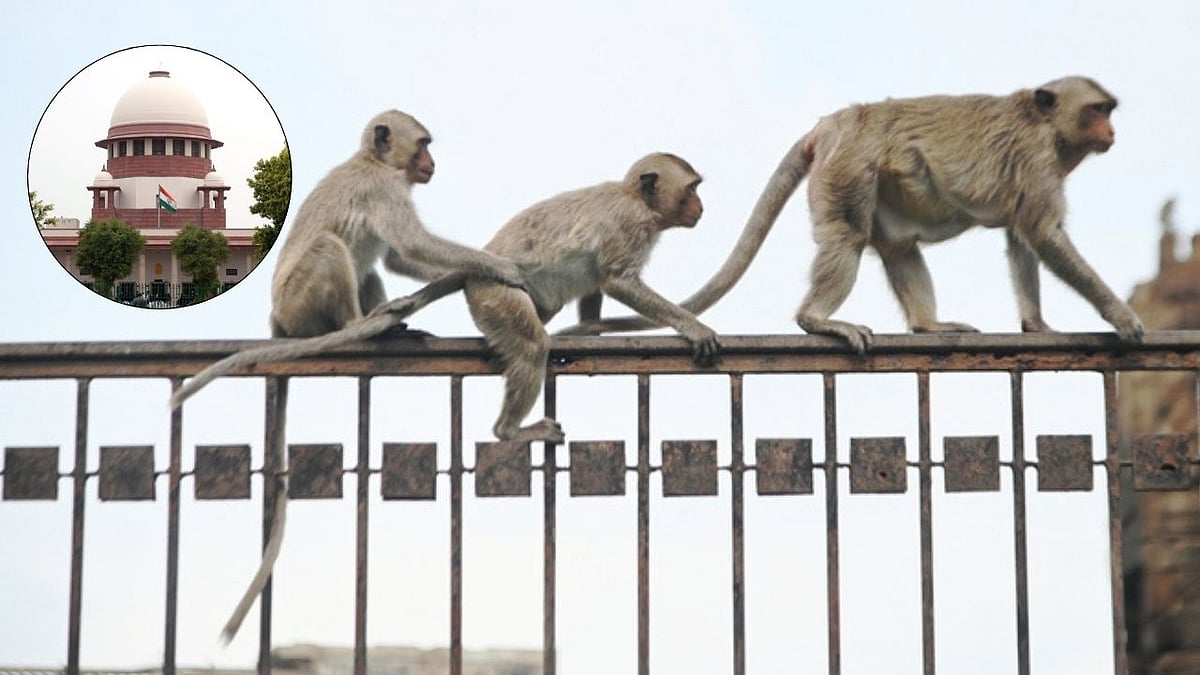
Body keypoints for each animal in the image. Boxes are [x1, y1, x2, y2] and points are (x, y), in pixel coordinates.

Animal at [176, 110, 526, 644]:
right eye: (422, 144)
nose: (431, 163)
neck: (373, 162)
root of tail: (277, 319)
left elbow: (400, 256)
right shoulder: (384, 189)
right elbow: (410, 243)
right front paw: (501, 266)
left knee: (369, 268)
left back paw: (391, 328)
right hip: (301, 303)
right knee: (331, 249)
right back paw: (362, 328)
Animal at [557, 76, 1144, 352]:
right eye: (1098, 109)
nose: (1113, 131)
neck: (1045, 127)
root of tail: (832, 123)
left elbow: (1023, 236)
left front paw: (1036, 323)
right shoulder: (1038, 161)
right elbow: (1043, 233)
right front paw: (1121, 316)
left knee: (897, 245)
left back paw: (928, 325)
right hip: (848, 169)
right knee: (846, 238)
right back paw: (817, 319)